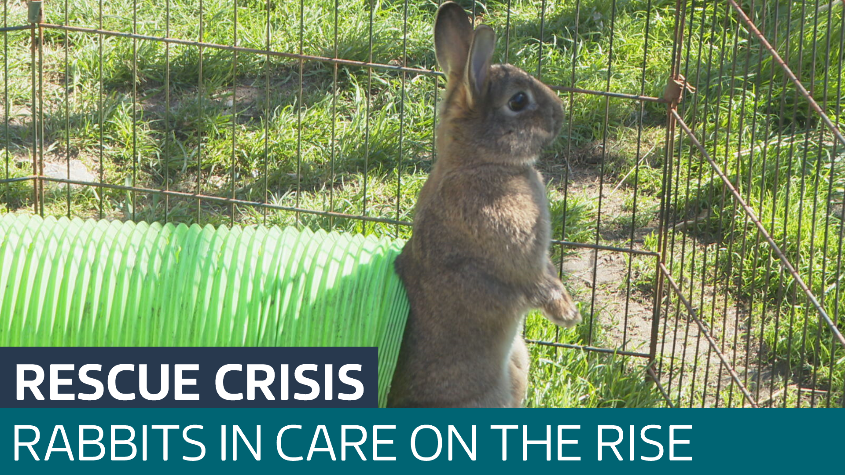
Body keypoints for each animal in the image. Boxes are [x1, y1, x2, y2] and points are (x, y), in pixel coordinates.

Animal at [388, 2, 581, 408]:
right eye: (518, 101)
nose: (559, 114)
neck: (478, 162)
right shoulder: (516, 251)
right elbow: (538, 286)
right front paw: (569, 316)